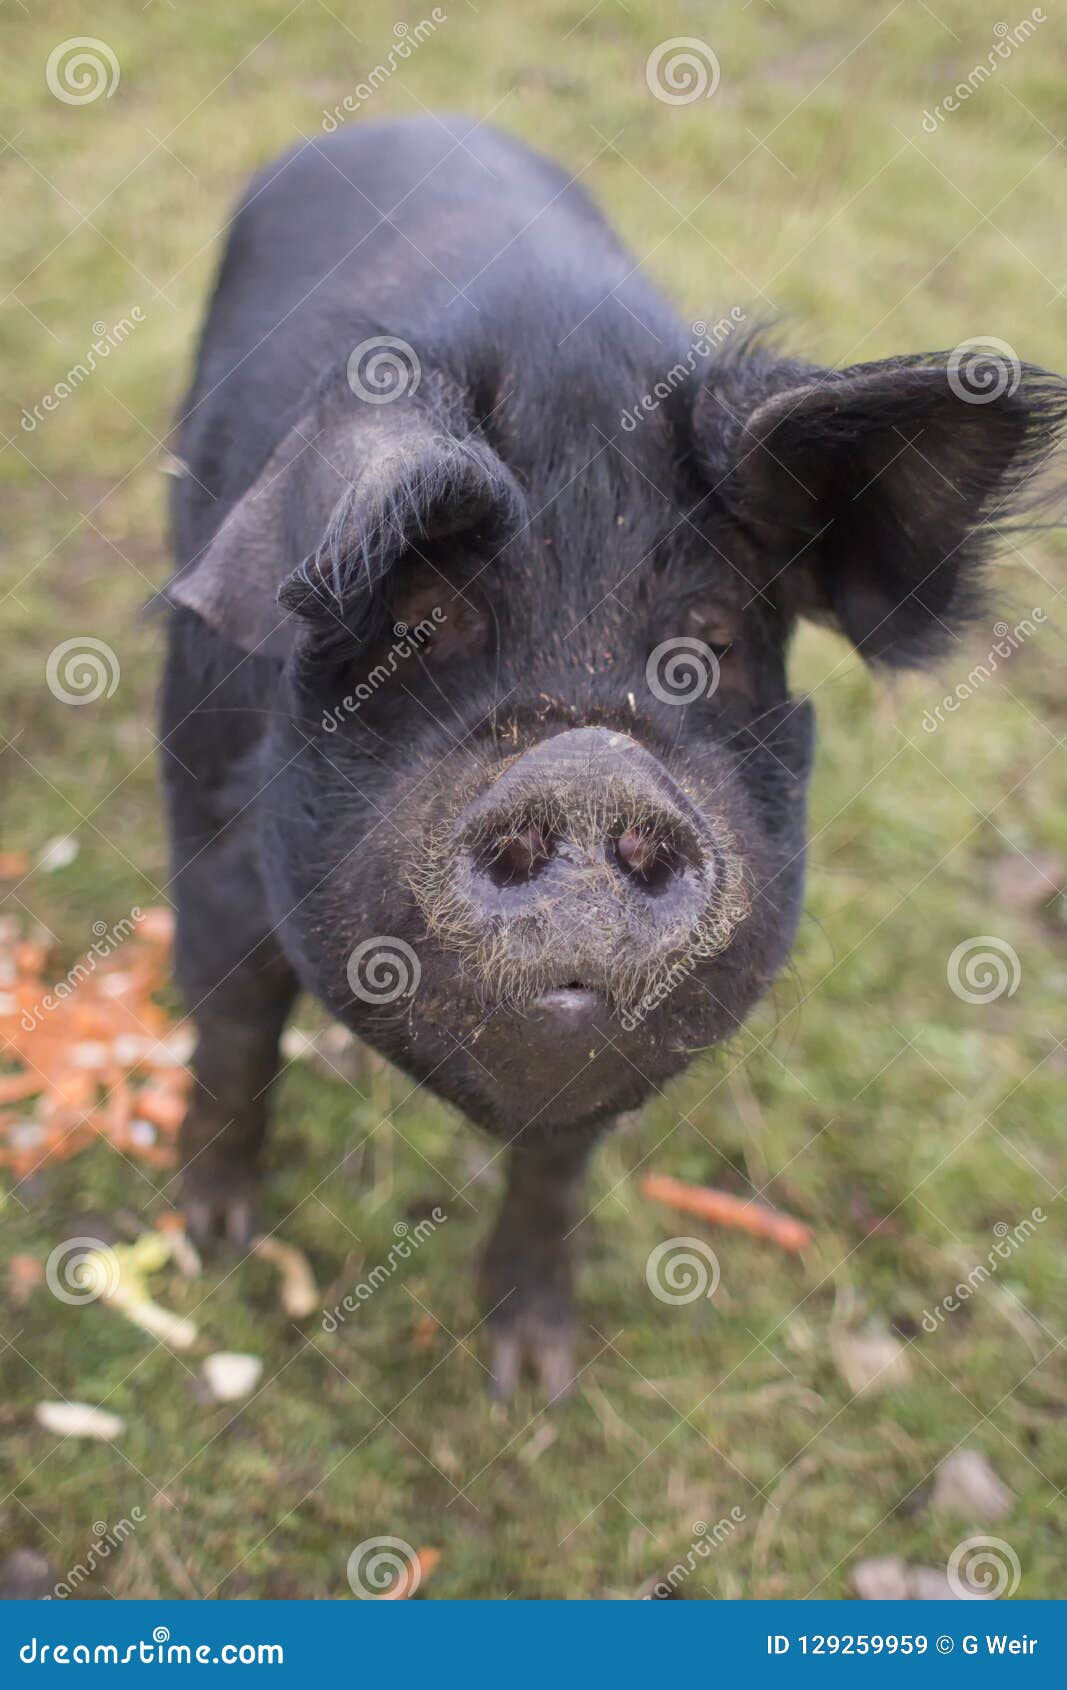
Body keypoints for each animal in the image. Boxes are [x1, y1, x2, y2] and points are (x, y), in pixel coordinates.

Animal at [162, 116, 1064, 1397]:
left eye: (705, 643)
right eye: (419, 621)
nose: (590, 764)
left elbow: (558, 1167)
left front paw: (530, 1381)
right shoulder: (206, 831)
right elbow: (233, 1033)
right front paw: (210, 1245)